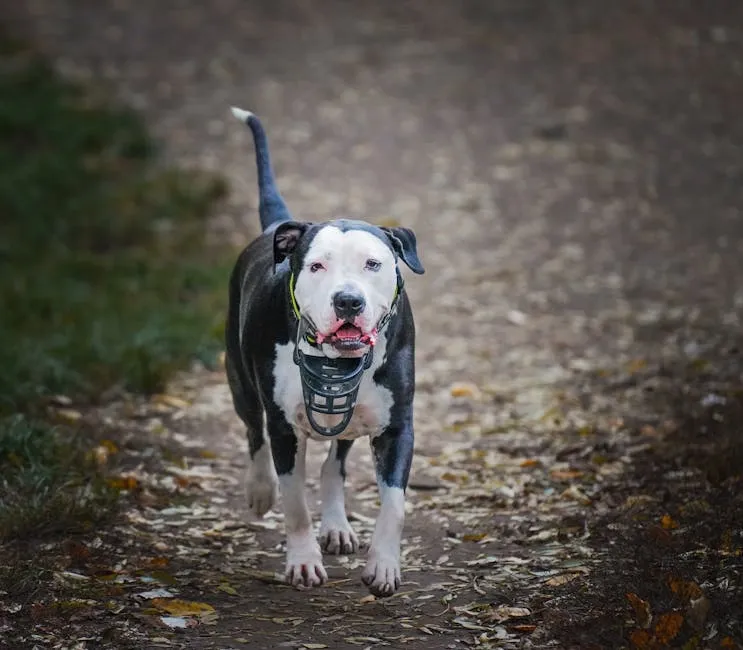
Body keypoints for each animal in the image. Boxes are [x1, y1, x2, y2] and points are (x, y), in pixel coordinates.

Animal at [225, 107, 424, 596]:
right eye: (316, 266)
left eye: (374, 264)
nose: (348, 301)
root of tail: (274, 229)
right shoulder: (284, 428)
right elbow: (295, 503)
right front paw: (302, 562)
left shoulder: (397, 427)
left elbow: (394, 506)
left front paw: (383, 566)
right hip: (240, 382)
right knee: (254, 433)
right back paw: (261, 489)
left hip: (352, 414)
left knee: (334, 463)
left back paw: (336, 524)